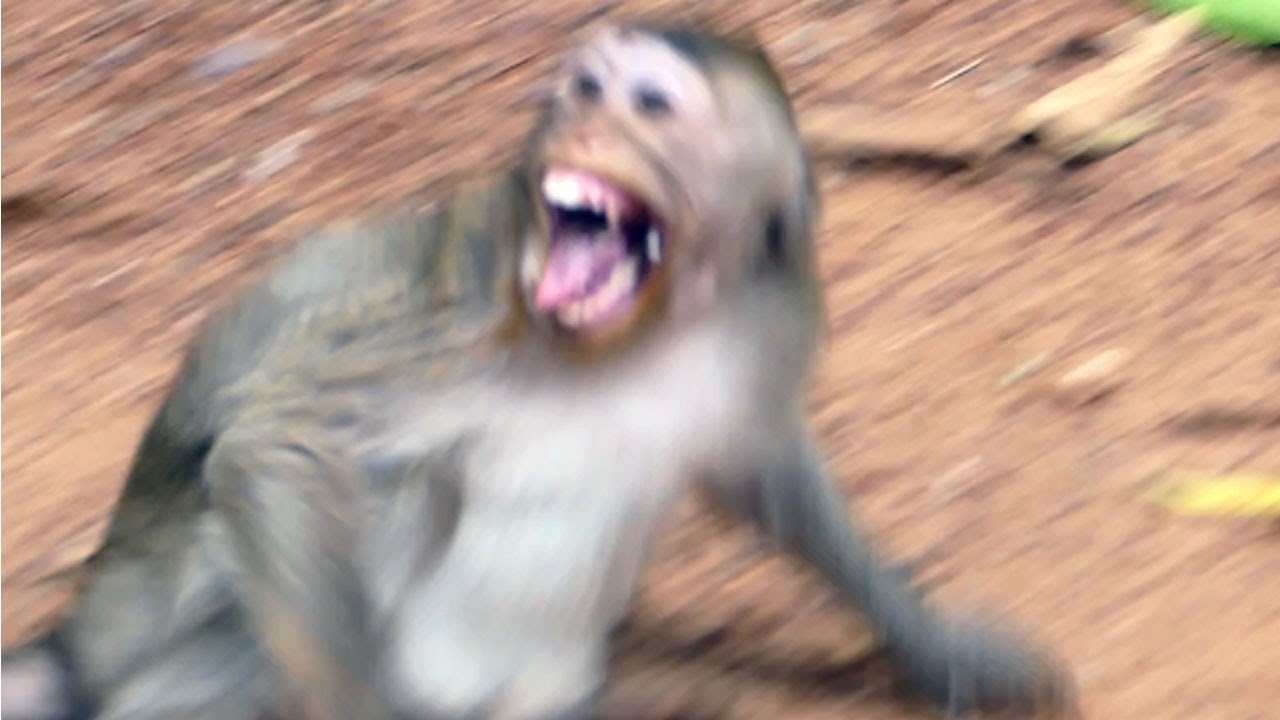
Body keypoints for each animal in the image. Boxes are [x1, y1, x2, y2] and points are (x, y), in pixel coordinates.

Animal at [1, 22, 1074, 720]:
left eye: (647, 104)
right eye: (581, 89)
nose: (580, 121)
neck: (639, 330)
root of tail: (82, 651)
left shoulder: (771, 314)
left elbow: (764, 468)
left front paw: (933, 642)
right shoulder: (464, 309)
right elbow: (283, 447)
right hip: (184, 671)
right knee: (384, 486)